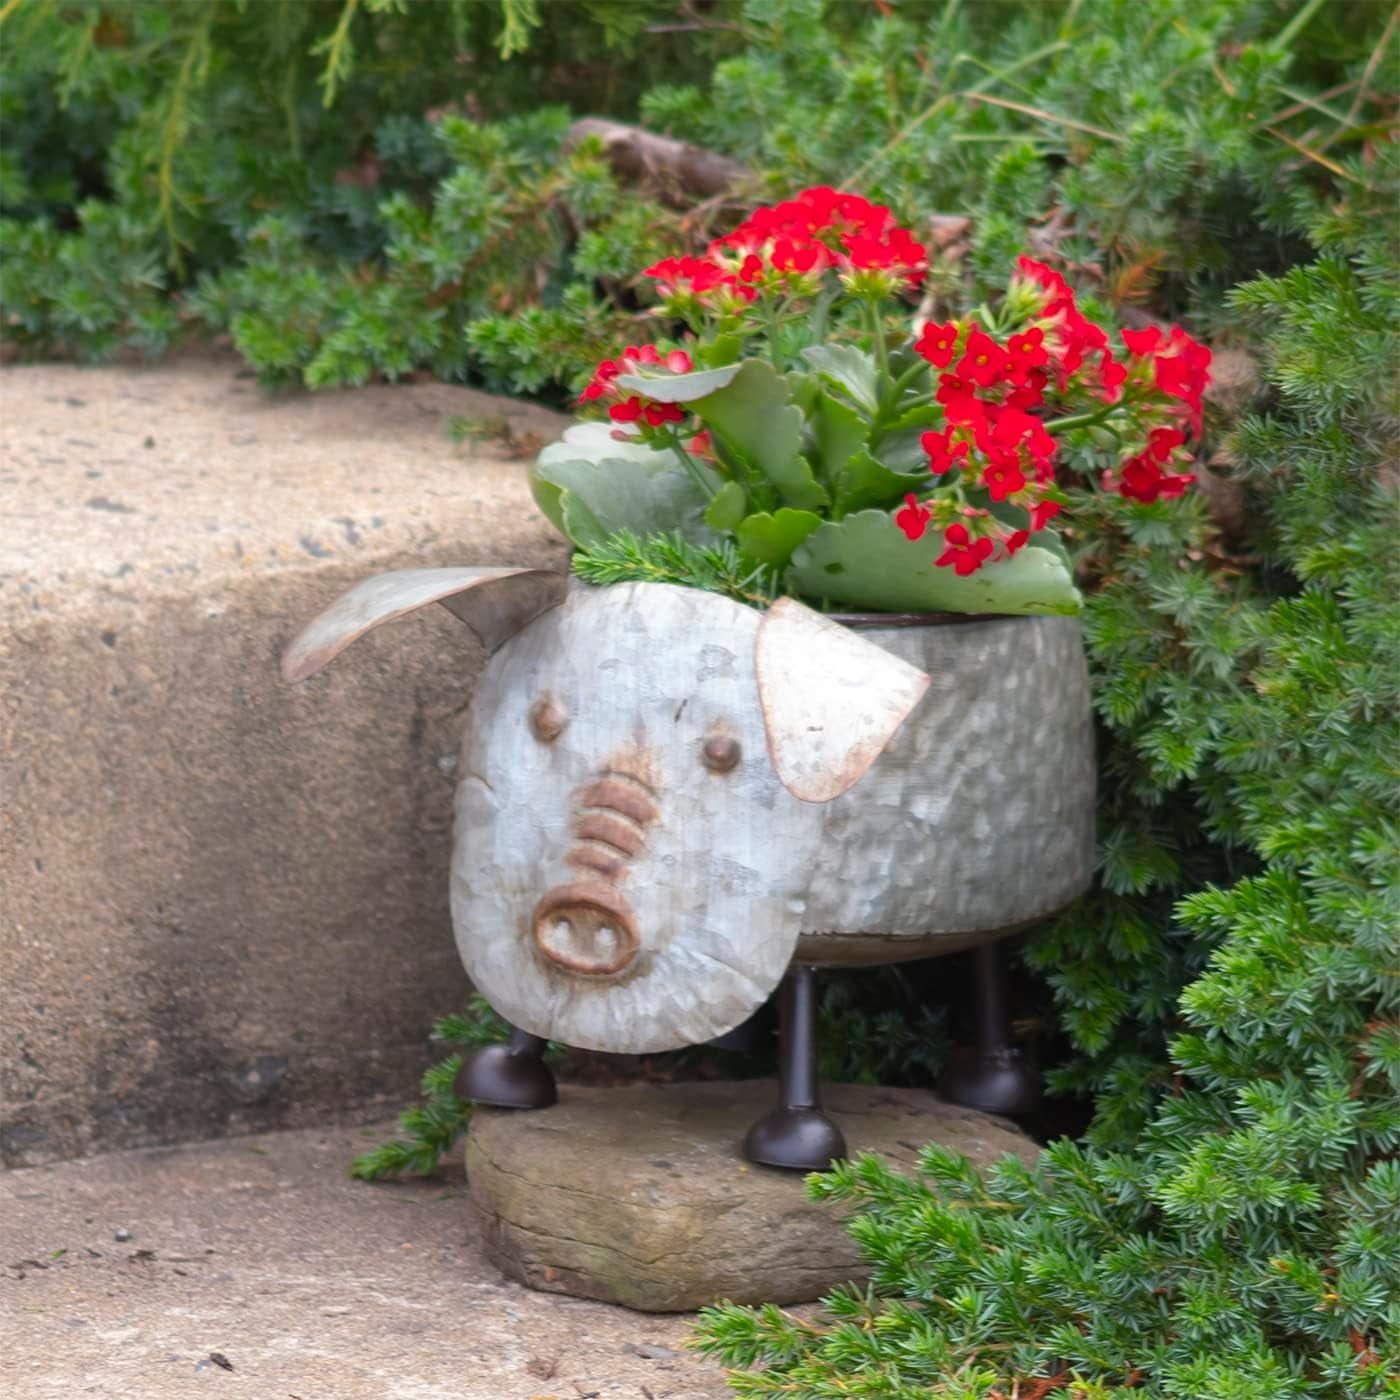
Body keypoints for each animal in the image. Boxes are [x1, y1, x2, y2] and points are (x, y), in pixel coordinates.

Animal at [283, 567, 1094, 1167]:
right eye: (543, 721)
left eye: (724, 753)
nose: (584, 900)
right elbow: (527, 1021)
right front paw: (498, 1086)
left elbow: (804, 995)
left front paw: (794, 1153)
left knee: (986, 962)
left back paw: (994, 1094)